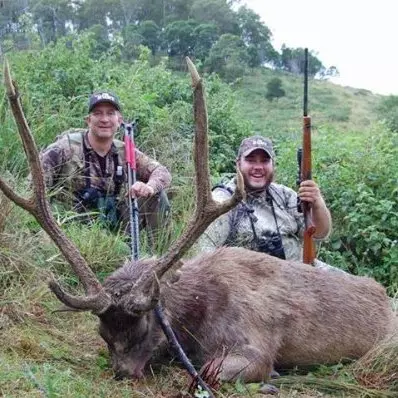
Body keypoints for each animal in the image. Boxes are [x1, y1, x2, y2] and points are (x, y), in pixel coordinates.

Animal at [0, 58, 394, 388]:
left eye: (143, 327)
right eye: (103, 334)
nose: (124, 373)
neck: (196, 314)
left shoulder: (255, 346)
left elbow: (213, 371)